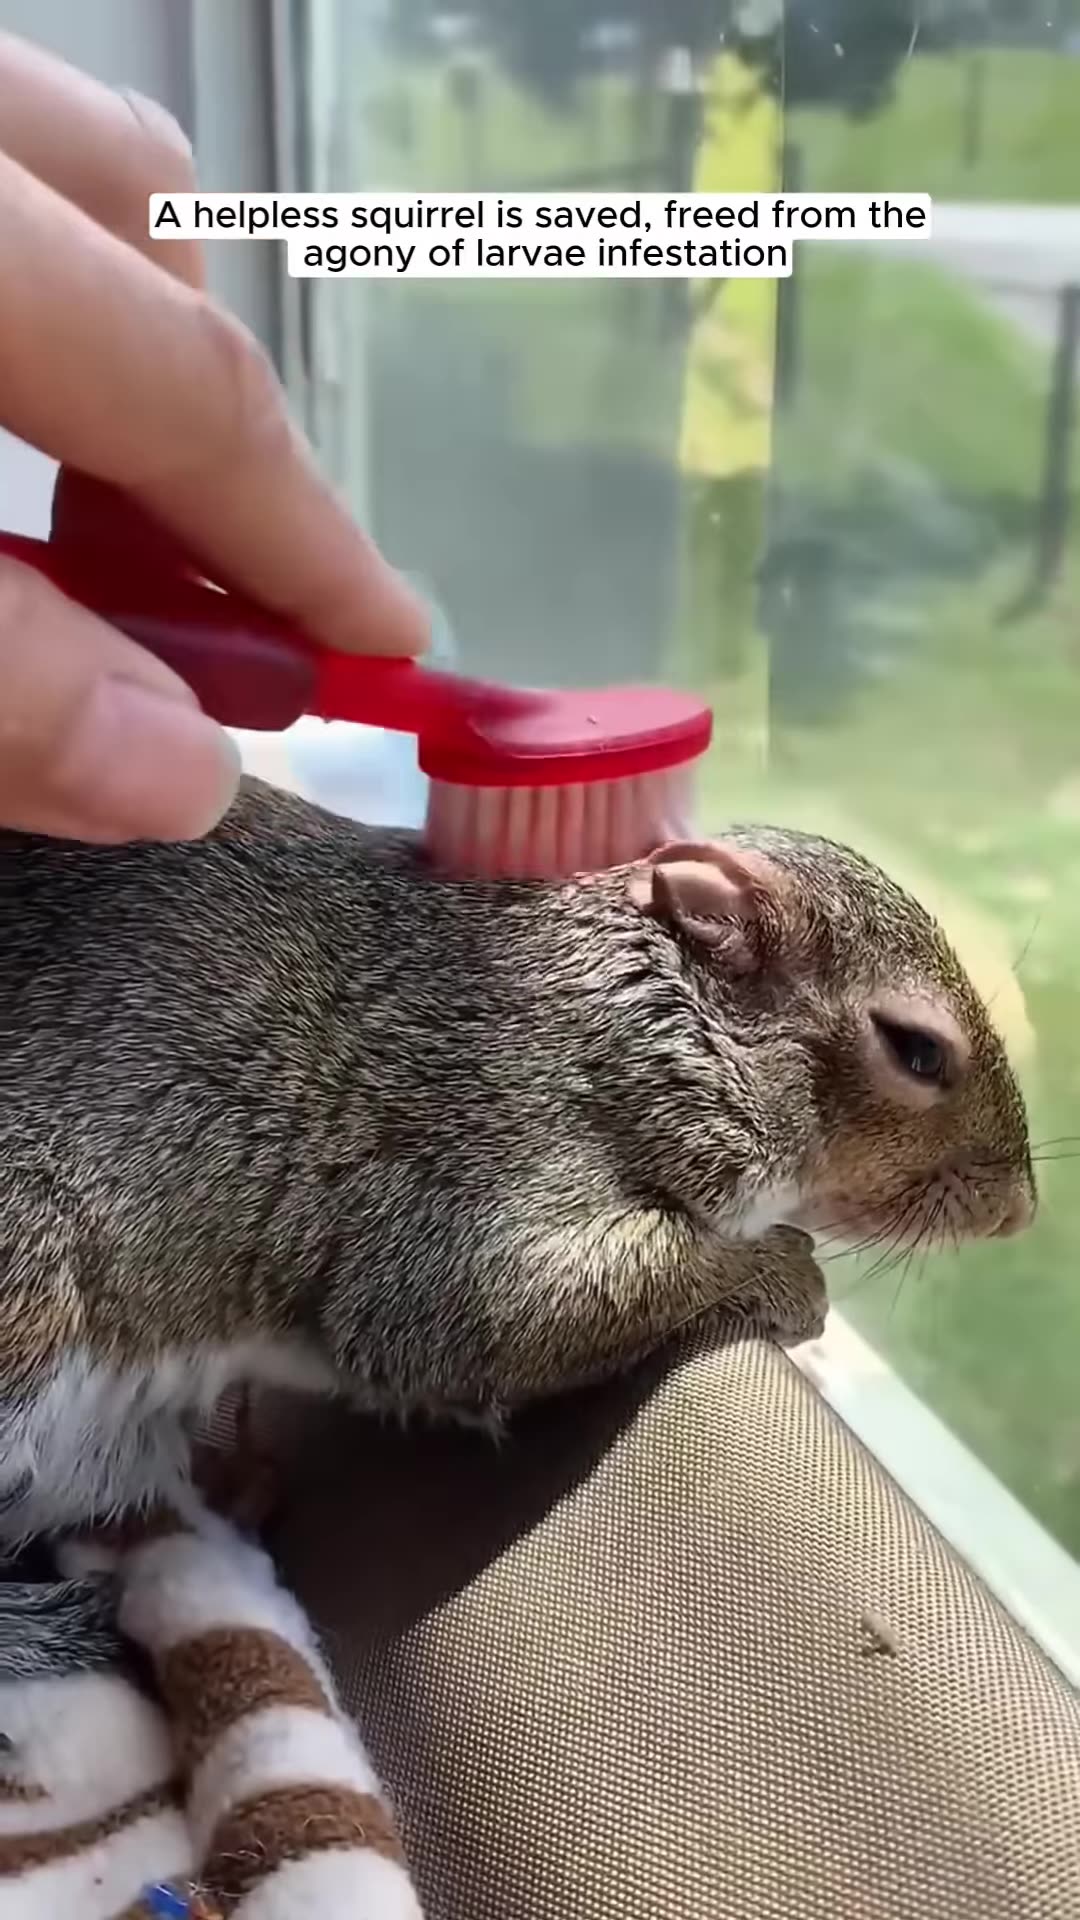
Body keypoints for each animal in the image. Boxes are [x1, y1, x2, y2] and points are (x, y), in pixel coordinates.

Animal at [0, 778, 1034, 1541]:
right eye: (917, 1051)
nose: (1020, 1209)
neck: (631, 1025)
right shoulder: (473, 1147)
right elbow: (477, 1318)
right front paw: (783, 1273)